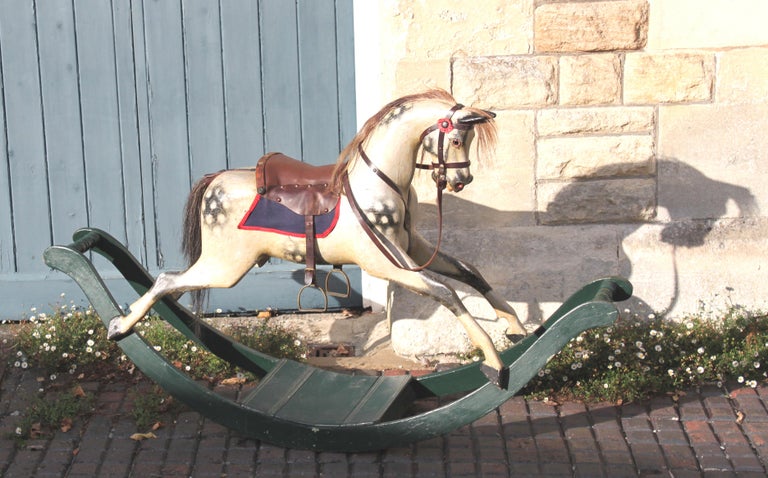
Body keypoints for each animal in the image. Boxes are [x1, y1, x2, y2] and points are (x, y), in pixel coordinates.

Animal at [106, 89, 526, 387]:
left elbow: (469, 272)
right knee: (165, 279)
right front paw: (495, 364)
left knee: (171, 286)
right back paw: (119, 326)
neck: (380, 180)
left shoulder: (412, 247)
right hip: (225, 266)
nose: (460, 180)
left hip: (221, 265)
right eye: (456, 139)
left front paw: (517, 328)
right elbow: (446, 292)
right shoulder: (384, 261)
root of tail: (215, 181)